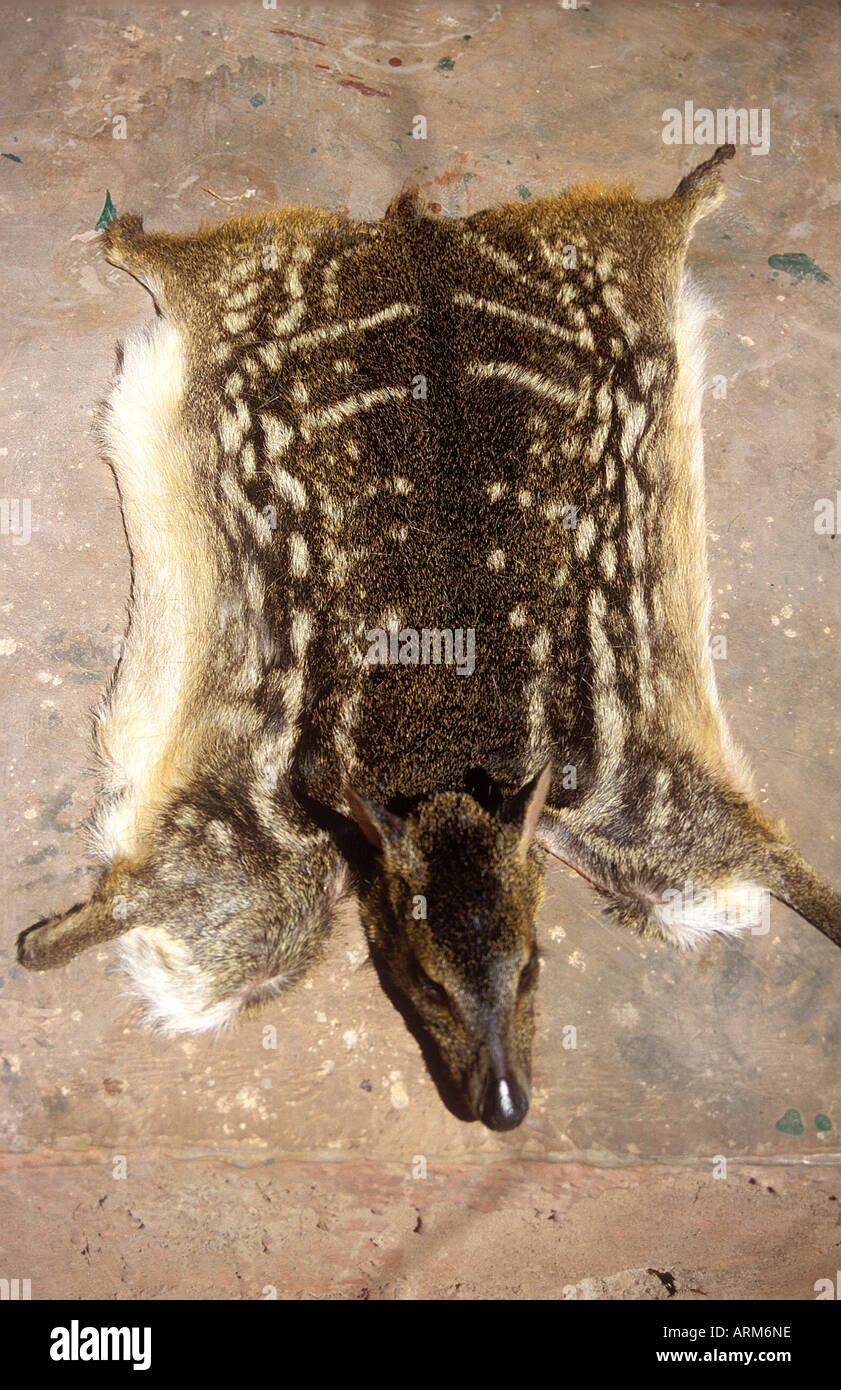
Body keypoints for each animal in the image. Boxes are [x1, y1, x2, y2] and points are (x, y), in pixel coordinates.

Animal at [17, 145, 841, 1131]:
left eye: (533, 962)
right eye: (421, 977)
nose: (504, 1102)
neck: (443, 760)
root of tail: (415, 227)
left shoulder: (628, 785)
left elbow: (780, 866)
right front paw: (46, 940)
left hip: (584, 248)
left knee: (655, 218)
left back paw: (708, 172)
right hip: (257, 262)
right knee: (176, 256)